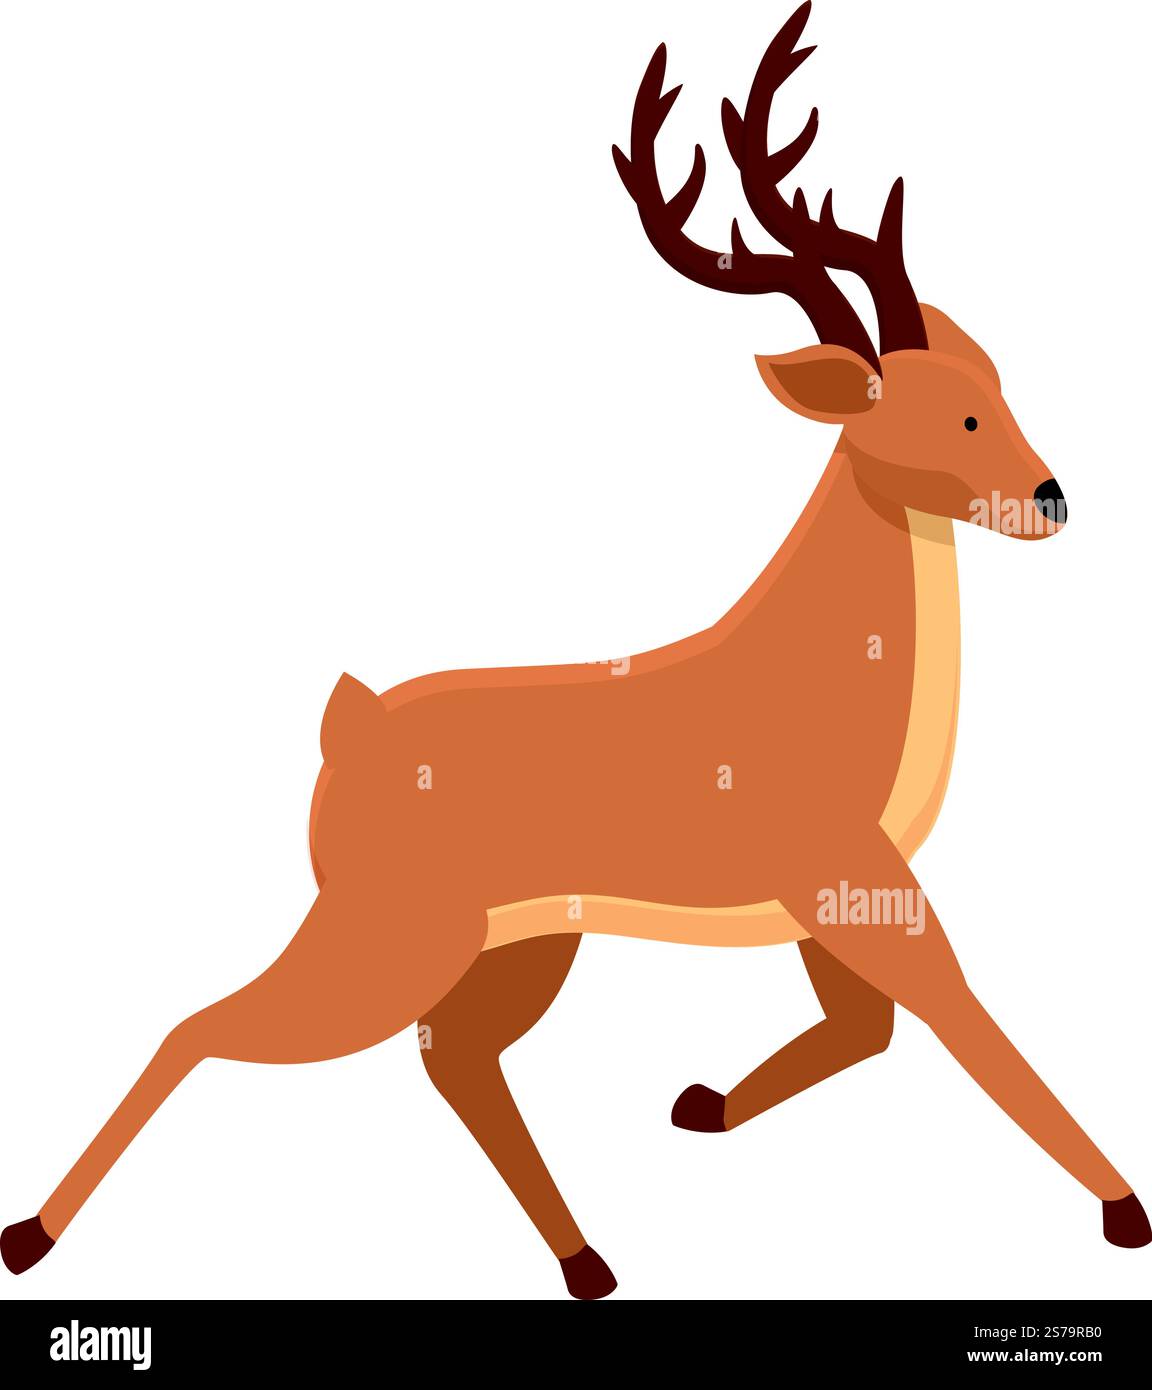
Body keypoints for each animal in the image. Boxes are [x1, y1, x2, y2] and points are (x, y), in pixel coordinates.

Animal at [3, 2, 1148, 1300]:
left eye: (996, 379)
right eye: (950, 412)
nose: (1051, 498)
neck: (843, 673)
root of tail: (348, 730)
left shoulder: (829, 896)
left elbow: (870, 1028)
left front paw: (700, 1103)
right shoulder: (850, 873)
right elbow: (963, 1016)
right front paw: (1124, 1209)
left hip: (517, 943)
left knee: (449, 1056)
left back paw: (591, 1258)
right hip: (384, 934)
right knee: (201, 1023)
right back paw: (30, 1236)